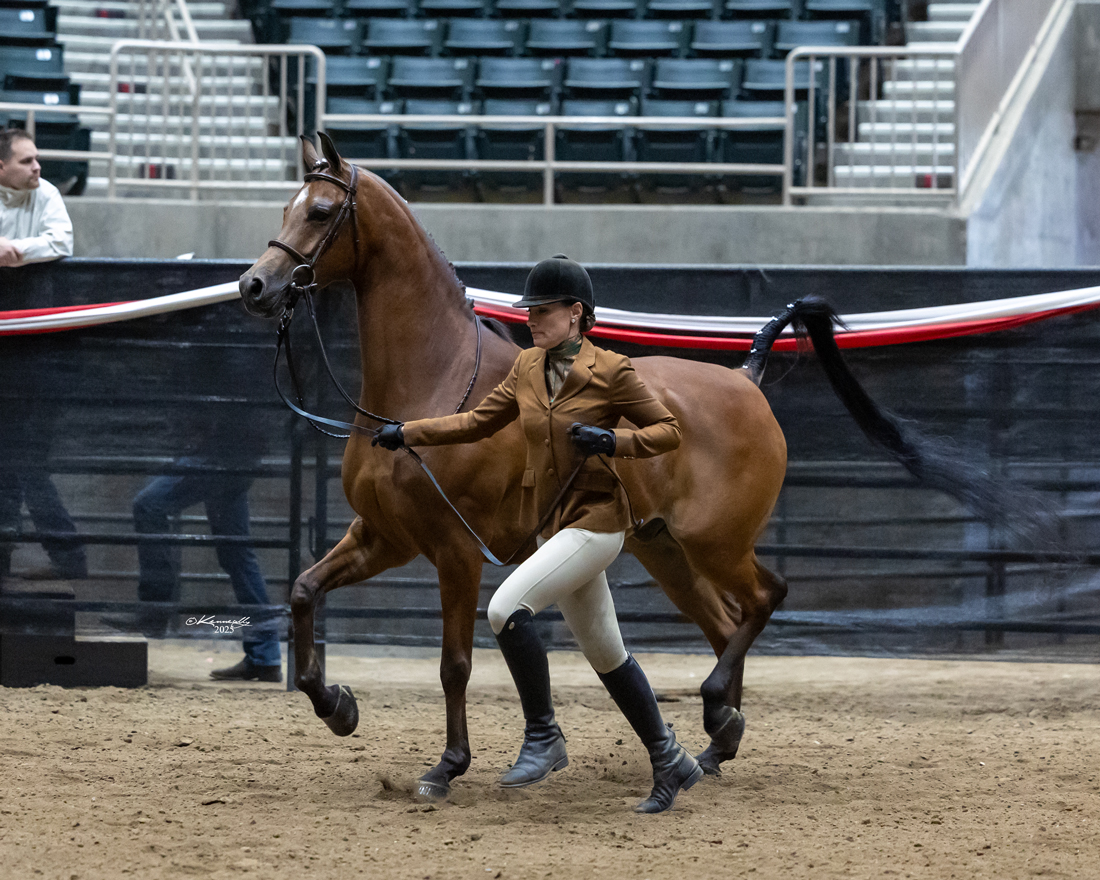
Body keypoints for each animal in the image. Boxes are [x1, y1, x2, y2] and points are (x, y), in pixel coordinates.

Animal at [238, 133, 1006, 801]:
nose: (255, 286)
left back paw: (714, 718)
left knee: (766, 597)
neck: (428, 386)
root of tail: (747, 380)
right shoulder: (384, 537)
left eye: (322, 211)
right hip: (665, 551)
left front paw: (447, 767)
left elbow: (455, 664)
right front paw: (336, 704)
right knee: (726, 625)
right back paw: (715, 741)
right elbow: (303, 591)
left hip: (716, 544)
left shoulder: (454, 551)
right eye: (286, 207)